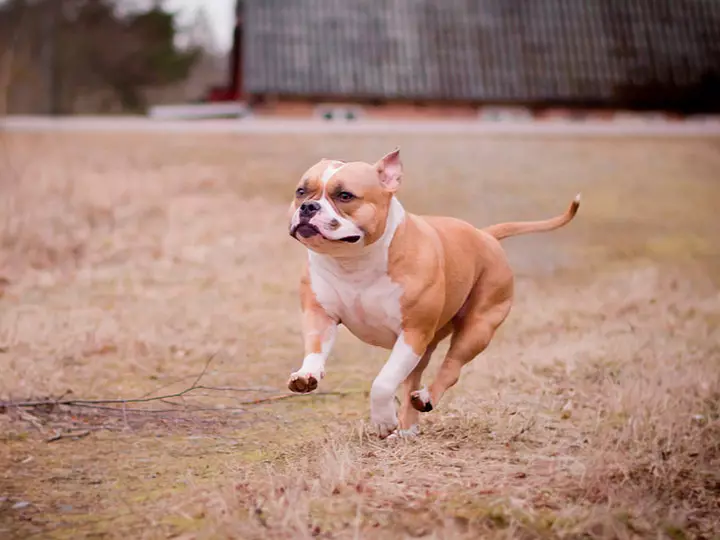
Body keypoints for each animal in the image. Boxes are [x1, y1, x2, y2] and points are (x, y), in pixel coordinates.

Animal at [286, 148, 580, 438]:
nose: (308, 207)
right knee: (412, 381)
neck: (354, 263)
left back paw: (425, 399)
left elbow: (383, 382)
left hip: (477, 329)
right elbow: (315, 350)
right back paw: (407, 429)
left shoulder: (412, 334)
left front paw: (383, 420)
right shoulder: (320, 317)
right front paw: (306, 375)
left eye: (345, 196)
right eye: (301, 191)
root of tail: (485, 235)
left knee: (450, 368)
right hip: (429, 347)